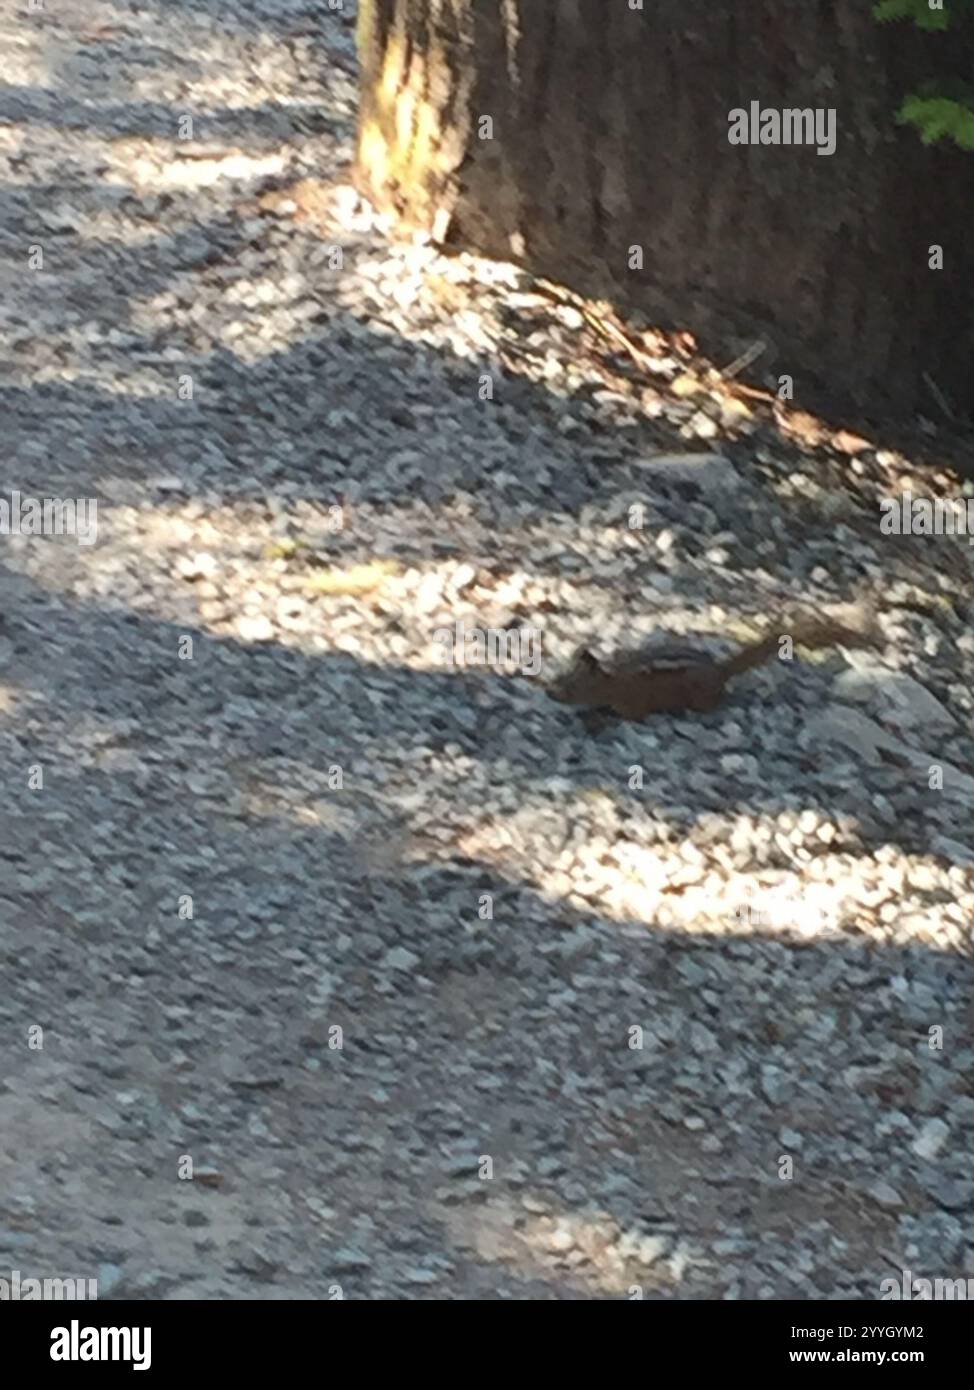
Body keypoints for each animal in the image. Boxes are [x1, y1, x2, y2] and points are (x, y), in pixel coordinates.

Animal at [546, 613, 881, 720]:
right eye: (559, 675)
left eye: (570, 686)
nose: (549, 693)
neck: (612, 678)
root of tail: (720, 670)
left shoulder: (632, 703)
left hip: (701, 696)